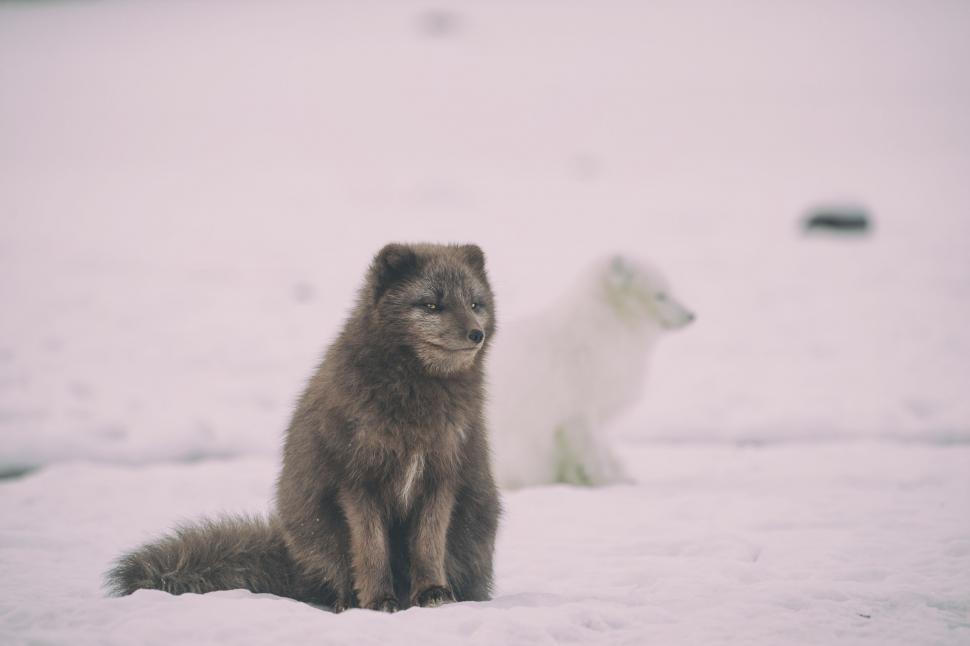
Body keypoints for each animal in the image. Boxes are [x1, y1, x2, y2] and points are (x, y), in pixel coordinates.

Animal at [106, 243, 501, 612]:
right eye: (432, 305)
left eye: (475, 303)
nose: (476, 334)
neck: (416, 402)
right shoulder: (356, 481)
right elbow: (371, 549)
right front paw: (377, 601)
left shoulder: (441, 476)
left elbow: (429, 544)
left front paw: (433, 593)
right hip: (316, 525)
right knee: (338, 574)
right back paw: (349, 602)